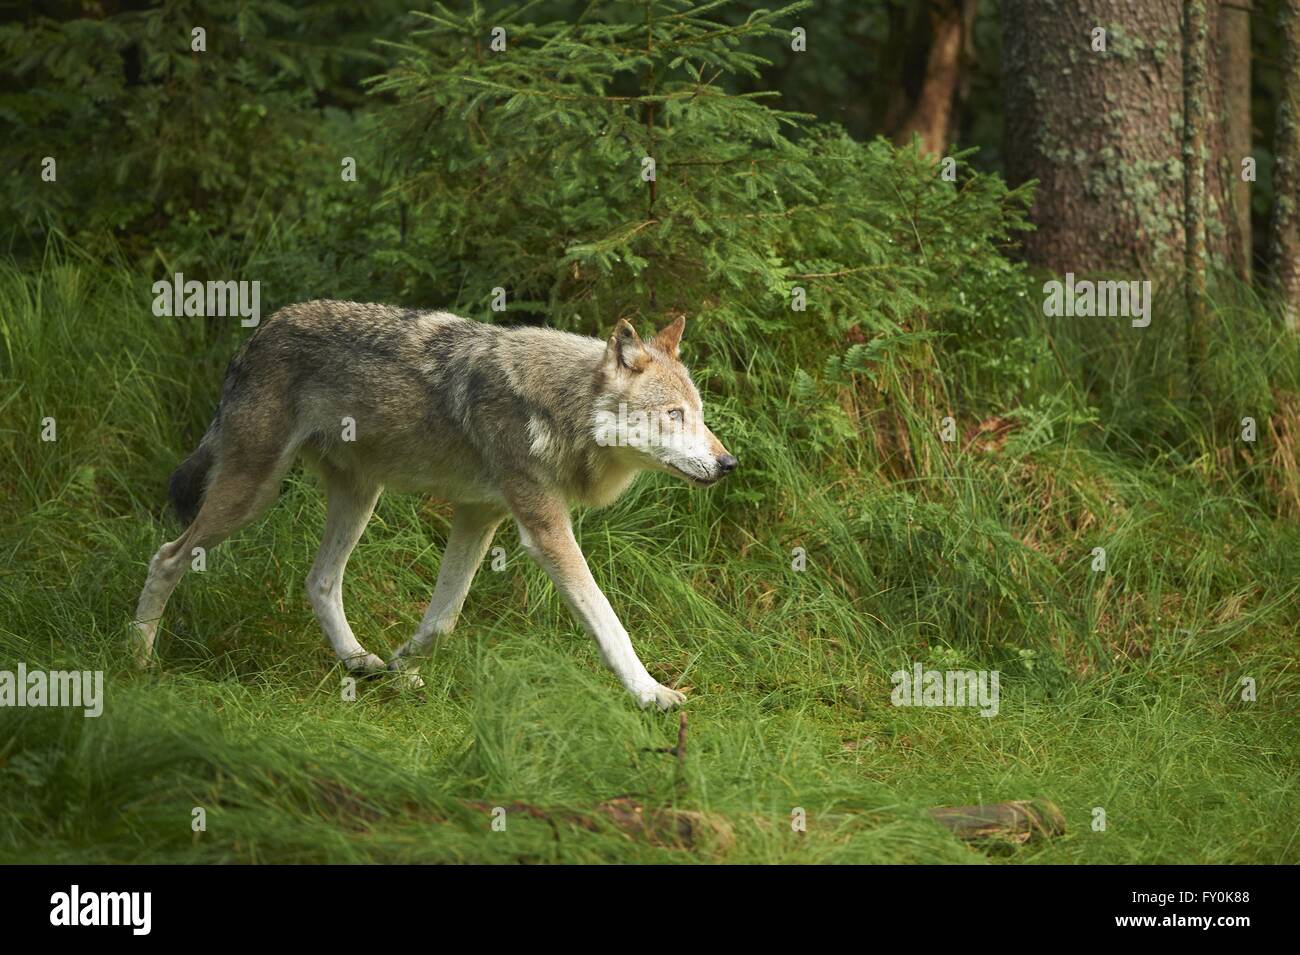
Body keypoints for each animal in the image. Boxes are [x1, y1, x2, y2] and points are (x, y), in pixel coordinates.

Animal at [131, 302, 736, 709]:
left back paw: (360, 661)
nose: (729, 463)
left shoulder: (480, 516)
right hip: (251, 495)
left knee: (320, 580)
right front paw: (651, 693)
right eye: (675, 416)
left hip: (360, 498)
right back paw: (137, 658)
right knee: (166, 556)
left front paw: (401, 668)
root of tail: (257, 334)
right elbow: (608, 620)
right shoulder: (544, 529)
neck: (560, 407)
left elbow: (442, 620)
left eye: (701, 415)